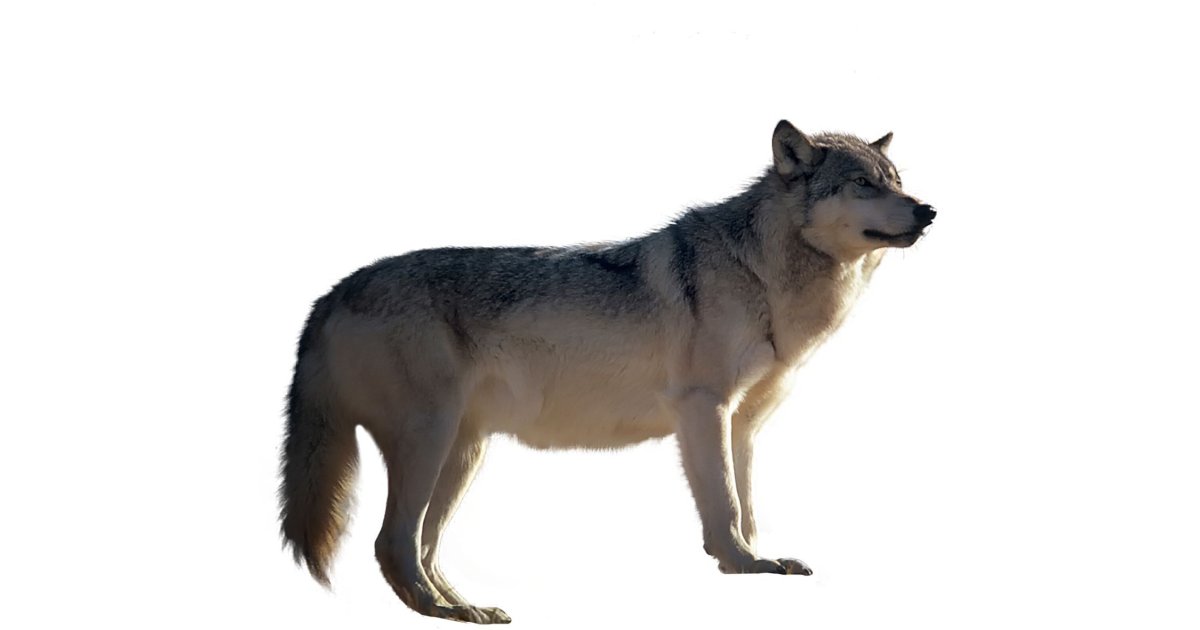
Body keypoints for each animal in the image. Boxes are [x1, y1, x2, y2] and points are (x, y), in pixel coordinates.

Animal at [279, 120, 935, 624]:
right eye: (862, 184)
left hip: (463, 454)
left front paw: (759, 559)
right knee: (392, 542)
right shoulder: (704, 407)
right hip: (431, 441)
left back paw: (466, 608)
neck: (761, 273)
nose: (929, 210)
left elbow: (746, 504)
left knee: (421, 545)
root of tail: (331, 293)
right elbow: (724, 505)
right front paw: (743, 565)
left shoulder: (744, 424)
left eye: (897, 181)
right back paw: (444, 611)